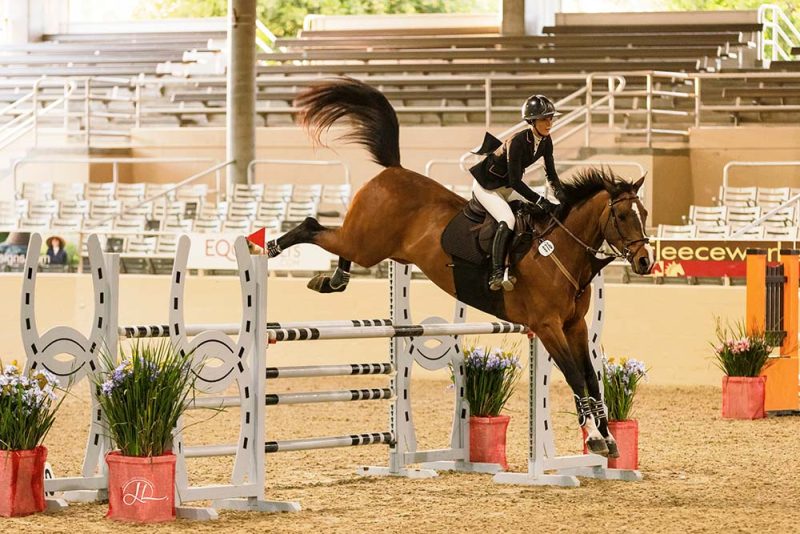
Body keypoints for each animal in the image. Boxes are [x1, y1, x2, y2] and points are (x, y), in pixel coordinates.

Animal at [266, 77, 654, 457]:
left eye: (645, 213)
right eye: (622, 215)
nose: (645, 262)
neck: (560, 252)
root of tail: (394, 170)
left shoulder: (575, 325)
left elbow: (590, 377)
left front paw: (608, 436)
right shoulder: (547, 327)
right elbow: (575, 376)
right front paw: (595, 437)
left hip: (370, 244)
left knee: (337, 242)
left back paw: (332, 279)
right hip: (366, 243)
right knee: (313, 226)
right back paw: (270, 248)